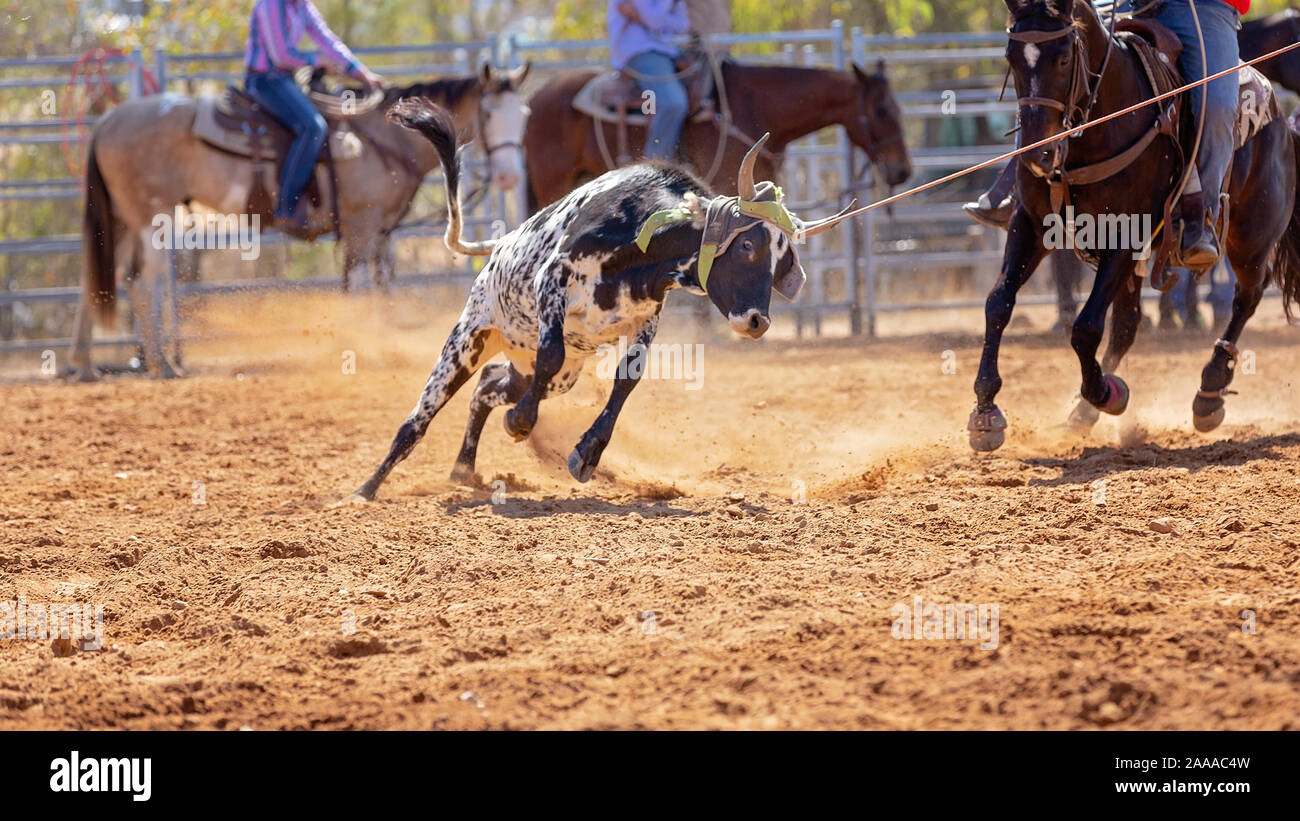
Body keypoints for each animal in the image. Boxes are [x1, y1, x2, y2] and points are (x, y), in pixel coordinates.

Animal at [341, 98, 857, 502]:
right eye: (747, 245)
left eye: (783, 262)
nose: (757, 322)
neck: (642, 236)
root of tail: (498, 247)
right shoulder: (553, 281)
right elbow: (552, 351)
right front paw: (522, 421)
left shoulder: (645, 320)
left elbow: (626, 381)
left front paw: (586, 454)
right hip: (469, 338)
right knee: (419, 419)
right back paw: (365, 490)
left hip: (549, 373)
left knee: (488, 386)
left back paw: (463, 469)